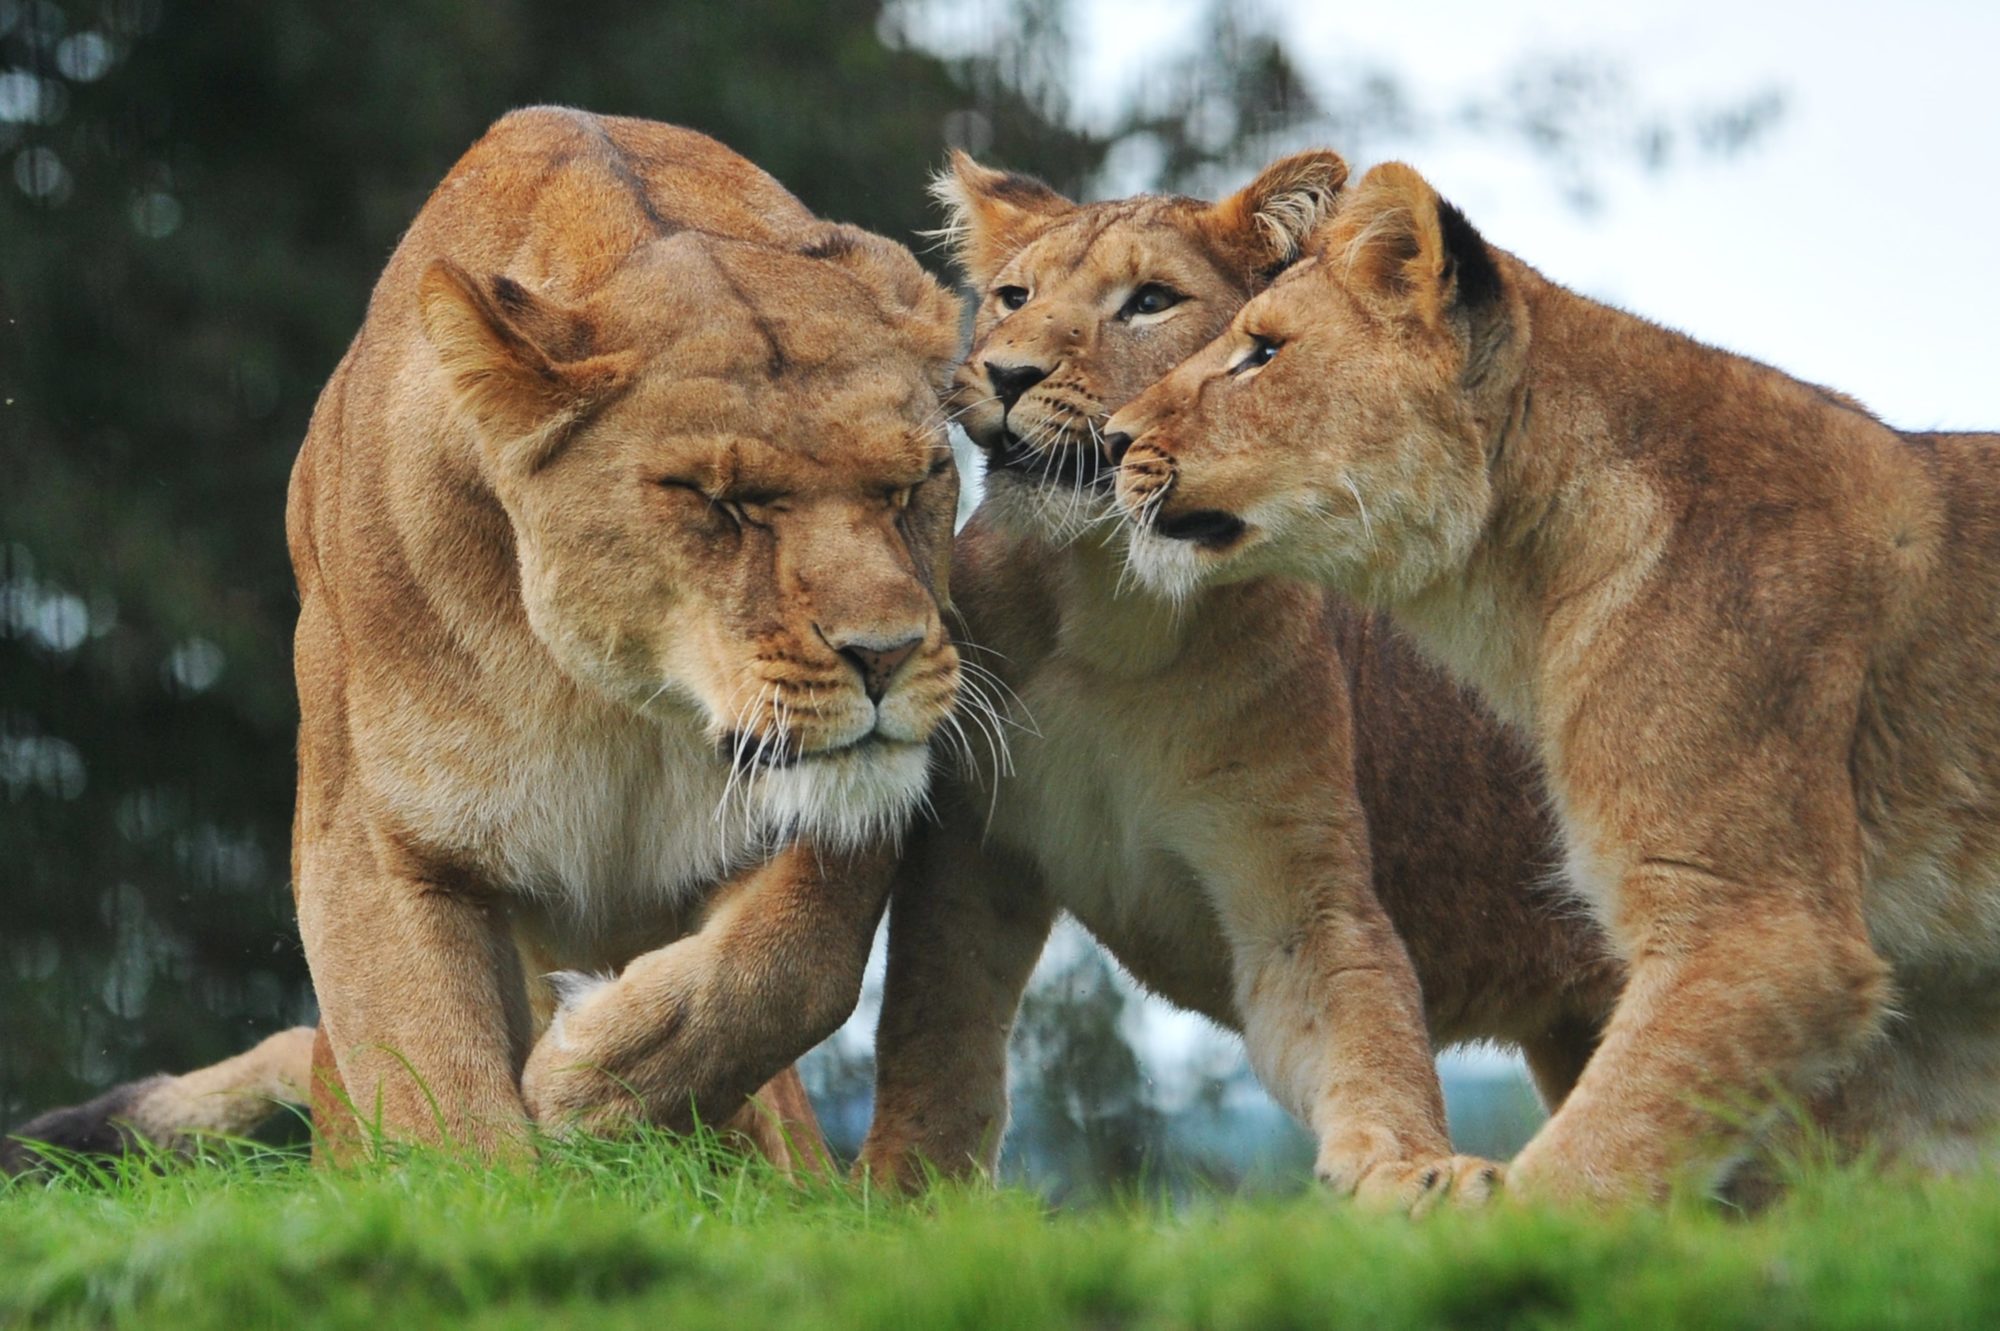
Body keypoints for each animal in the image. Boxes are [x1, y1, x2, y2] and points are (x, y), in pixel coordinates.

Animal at [857, 151, 1621, 1210]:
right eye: (1013, 298)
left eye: (1149, 302)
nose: (1007, 374)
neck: (1113, 606)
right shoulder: (971, 849)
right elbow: (937, 1031)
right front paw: (900, 1188)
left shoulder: (1297, 891)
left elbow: (1364, 1031)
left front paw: (1408, 1171)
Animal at [1105, 158, 2000, 1202]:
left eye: (1262, 352)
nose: (1111, 440)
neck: (1524, 586)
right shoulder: (1945, 1009)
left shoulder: (1764, 928)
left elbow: (1587, 1161)